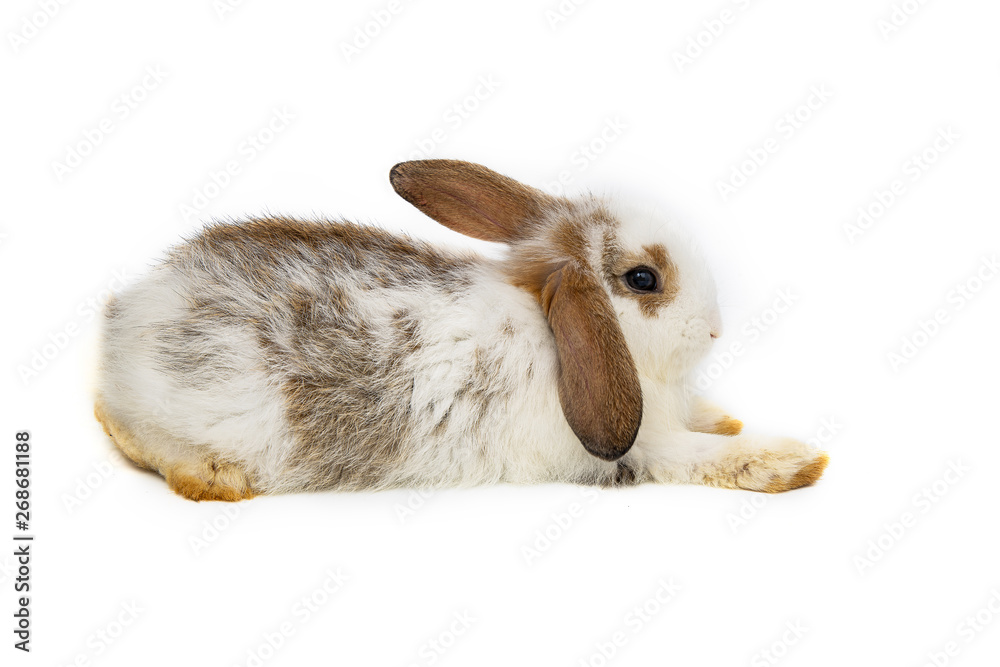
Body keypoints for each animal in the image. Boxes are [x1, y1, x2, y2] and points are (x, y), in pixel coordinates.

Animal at [94, 159, 828, 501]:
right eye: (644, 279)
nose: (715, 329)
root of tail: (133, 314)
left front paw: (725, 416)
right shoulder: (636, 446)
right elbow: (697, 455)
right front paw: (794, 461)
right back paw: (214, 477)